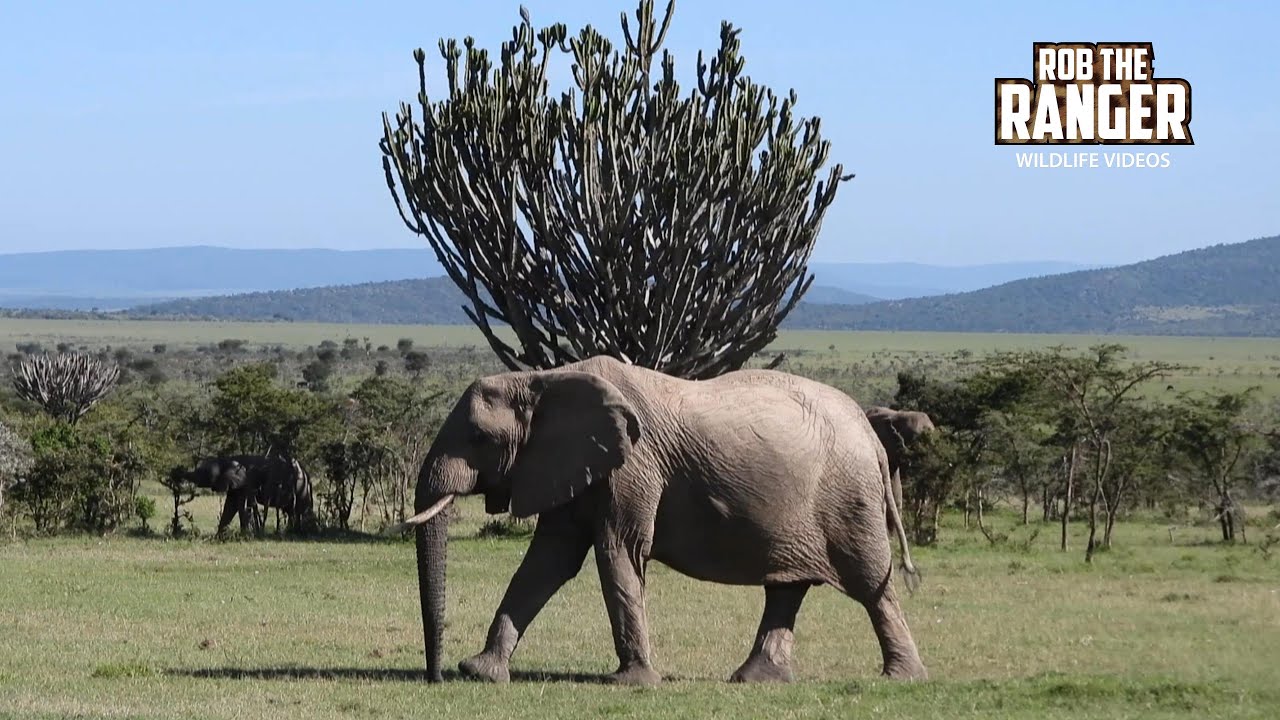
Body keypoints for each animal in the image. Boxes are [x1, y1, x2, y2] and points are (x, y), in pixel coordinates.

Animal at [394, 355, 927, 686]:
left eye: (479, 438)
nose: (435, 677)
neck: (546, 377)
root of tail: (870, 434)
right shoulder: (574, 464)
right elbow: (548, 562)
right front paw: (481, 672)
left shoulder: (633, 466)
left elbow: (617, 552)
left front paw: (633, 682)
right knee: (786, 588)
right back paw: (755, 680)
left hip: (849, 500)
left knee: (871, 586)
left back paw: (903, 678)